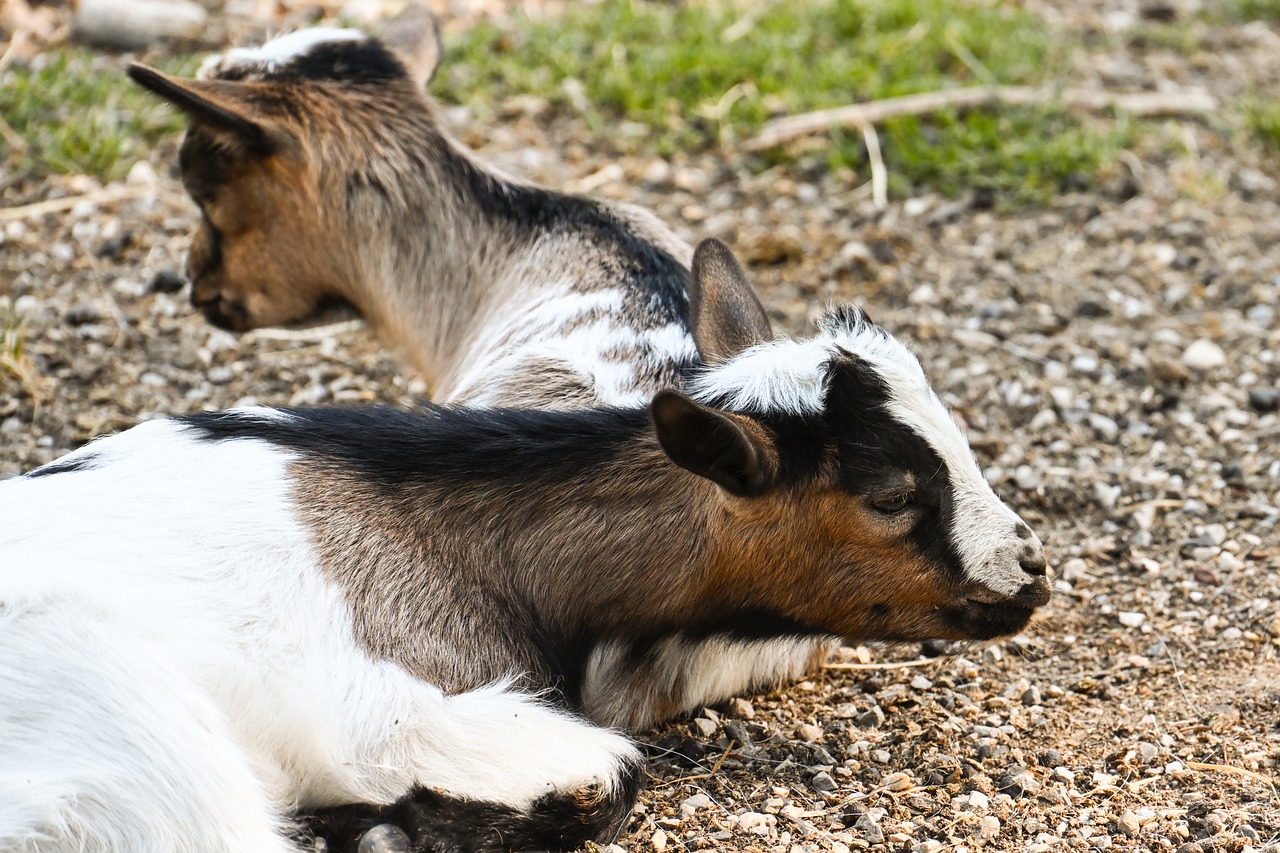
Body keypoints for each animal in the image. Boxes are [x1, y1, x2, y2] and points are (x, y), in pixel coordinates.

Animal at [0, 240, 1049, 853]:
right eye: (891, 495)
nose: (1030, 569)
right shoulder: (377, 712)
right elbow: (610, 773)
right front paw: (392, 826)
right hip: (142, 725)